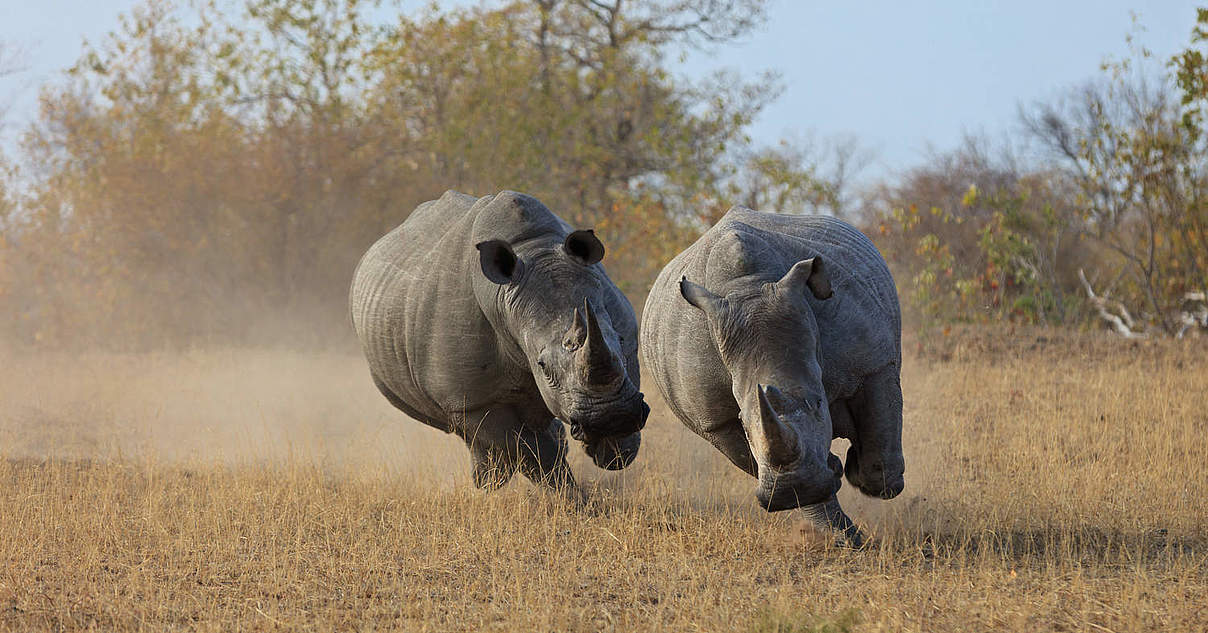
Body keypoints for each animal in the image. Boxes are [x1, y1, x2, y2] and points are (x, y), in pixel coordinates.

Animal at [350, 191, 649, 498]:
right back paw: (491, 480)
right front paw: (572, 500)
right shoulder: (471, 400)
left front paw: (614, 451)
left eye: (621, 340)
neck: (533, 249)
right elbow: (529, 450)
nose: (611, 417)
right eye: (543, 366)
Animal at [640, 207, 904, 545]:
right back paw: (842, 536)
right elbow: (750, 453)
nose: (795, 488)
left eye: (819, 403)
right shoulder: (714, 420)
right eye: (742, 421)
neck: (748, 286)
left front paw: (862, 476)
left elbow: (881, 430)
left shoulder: (873, 363)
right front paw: (823, 487)